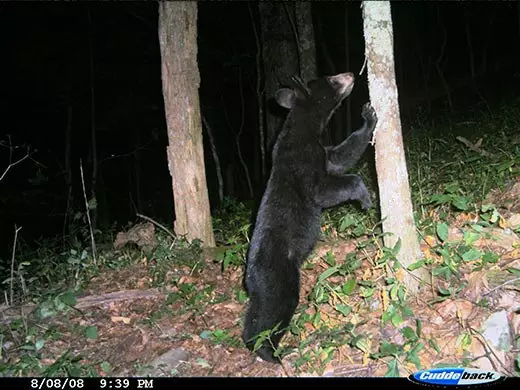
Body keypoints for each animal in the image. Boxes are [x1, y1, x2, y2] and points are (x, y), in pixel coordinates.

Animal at [242, 71, 376, 362]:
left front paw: (369, 116)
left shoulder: (324, 153)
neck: (304, 129)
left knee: (255, 315)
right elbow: (323, 190)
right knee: (275, 309)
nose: (350, 74)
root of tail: (250, 279)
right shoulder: (304, 163)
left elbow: (341, 156)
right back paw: (272, 353)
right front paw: (365, 198)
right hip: (279, 277)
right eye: (332, 79)